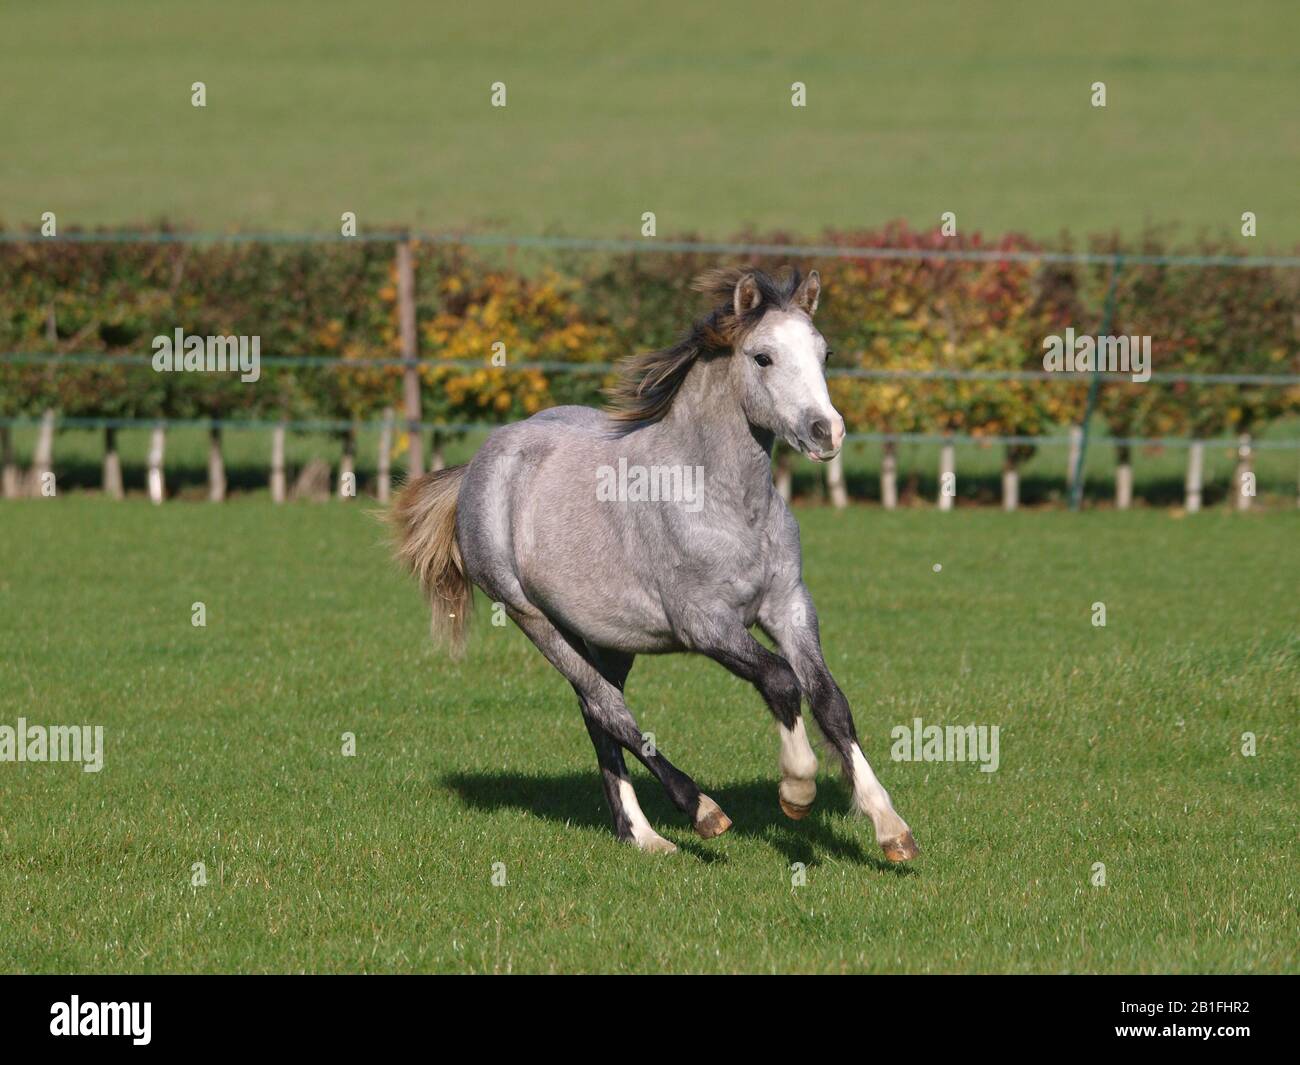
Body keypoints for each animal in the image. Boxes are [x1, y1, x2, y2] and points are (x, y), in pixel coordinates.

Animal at [391, 266, 918, 862]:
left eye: (824, 353)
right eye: (762, 357)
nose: (826, 431)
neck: (725, 501)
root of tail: (479, 465)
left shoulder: (789, 606)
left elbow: (831, 702)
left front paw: (890, 828)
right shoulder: (704, 623)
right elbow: (781, 680)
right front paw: (798, 789)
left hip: (609, 634)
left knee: (597, 711)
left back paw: (639, 832)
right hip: (531, 616)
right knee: (608, 708)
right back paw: (696, 814)